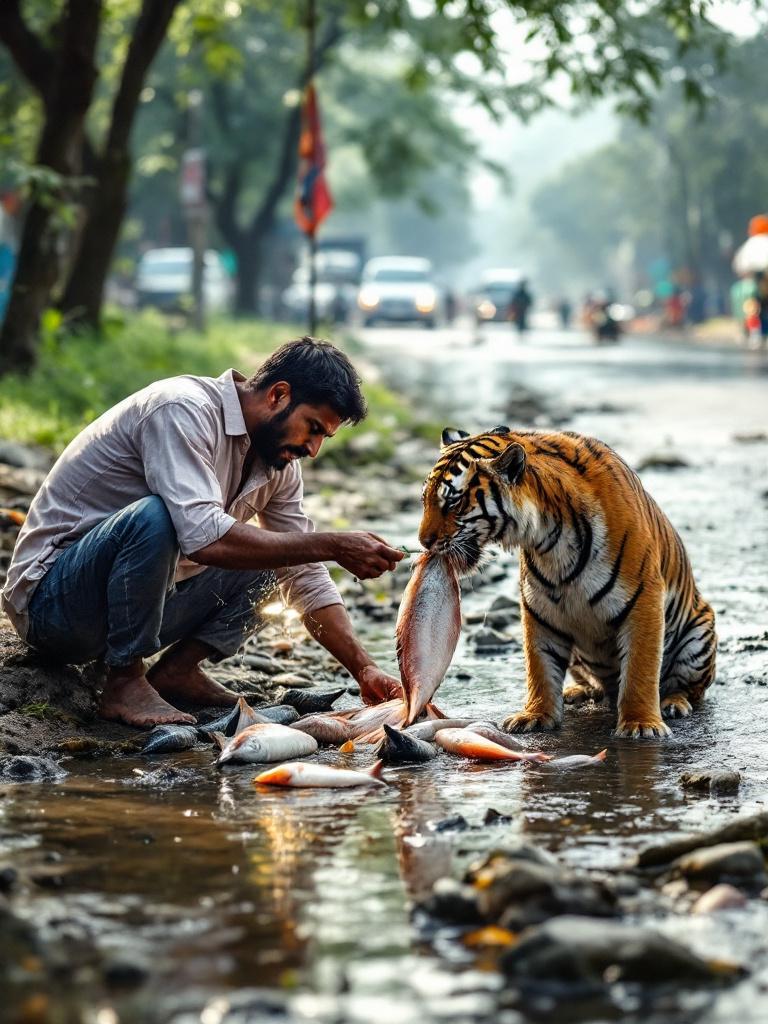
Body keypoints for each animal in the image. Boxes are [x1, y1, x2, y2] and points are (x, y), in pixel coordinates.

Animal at [418, 426, 717, 739]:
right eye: (424, 500)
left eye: (453, 502)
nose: (423, 541)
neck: (549, 537)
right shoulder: (539, 607)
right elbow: (539, 665)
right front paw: (535, 715)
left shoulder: (644, 597)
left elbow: (640, 668)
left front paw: (641, 724)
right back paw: (578, 692)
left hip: (698, 635)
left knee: (688, 688)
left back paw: (673, 702)